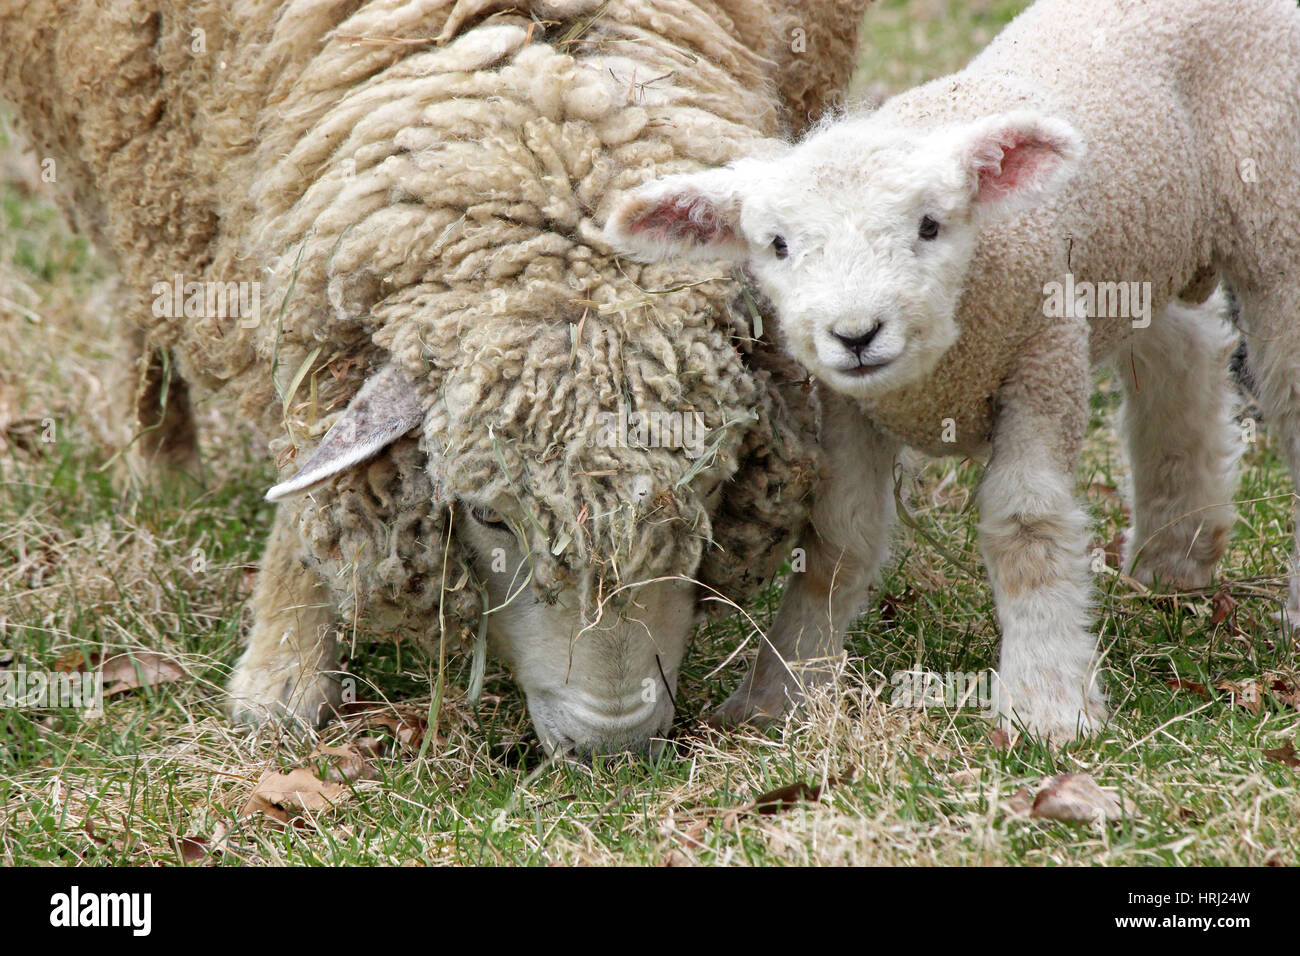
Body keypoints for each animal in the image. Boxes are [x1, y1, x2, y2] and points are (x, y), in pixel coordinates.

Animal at [0, 0, 872, 756]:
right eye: (487, 517)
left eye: (709, 496)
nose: (612, 748)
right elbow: (312, 476)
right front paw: (281, 679)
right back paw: (161, 461)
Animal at [606, 0, 1300, 741]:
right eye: (778, 245)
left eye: (930, 226)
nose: (856, 335)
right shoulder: (848, 405)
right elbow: (839, 537)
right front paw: (783, 689)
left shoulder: (1042, 358)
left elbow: (1026, 525)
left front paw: (1047, 704)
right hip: (1138, 253)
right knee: (1181, 357)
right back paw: (1175, 555)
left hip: (1273, 221)